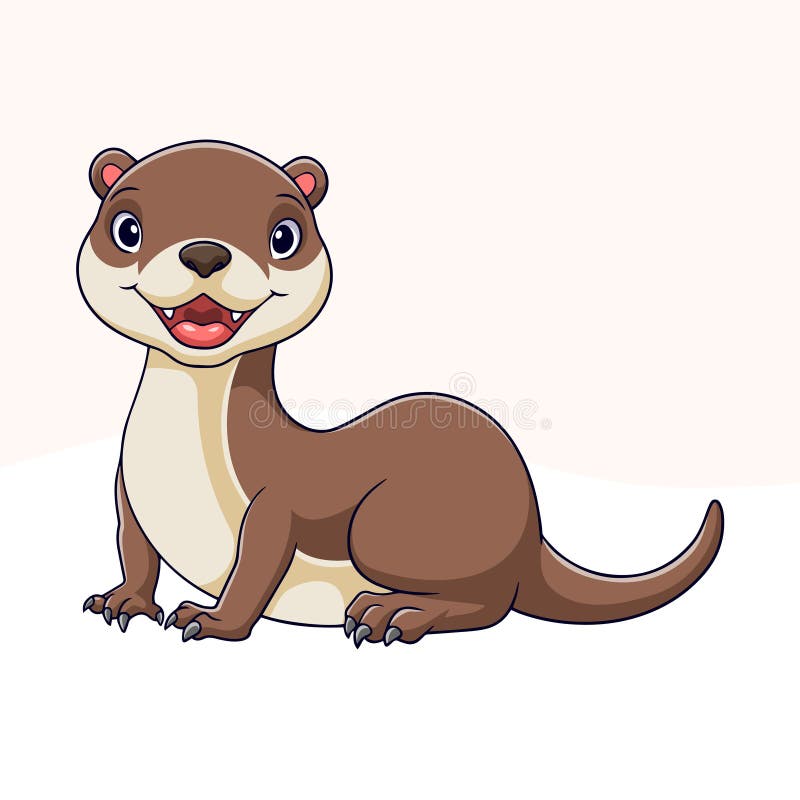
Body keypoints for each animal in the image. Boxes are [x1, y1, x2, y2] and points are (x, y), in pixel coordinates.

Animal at [79, 141, 723, 646]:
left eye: (284, 236)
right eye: (127, 227)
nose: (205, 252)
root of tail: (531, 533)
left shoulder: (276, 498)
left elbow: (257, 568)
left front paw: (213, 621)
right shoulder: (128, 483)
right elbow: (132, 543)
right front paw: (125, 600)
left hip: (390, 527)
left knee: (490, 604)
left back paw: (392, 612)